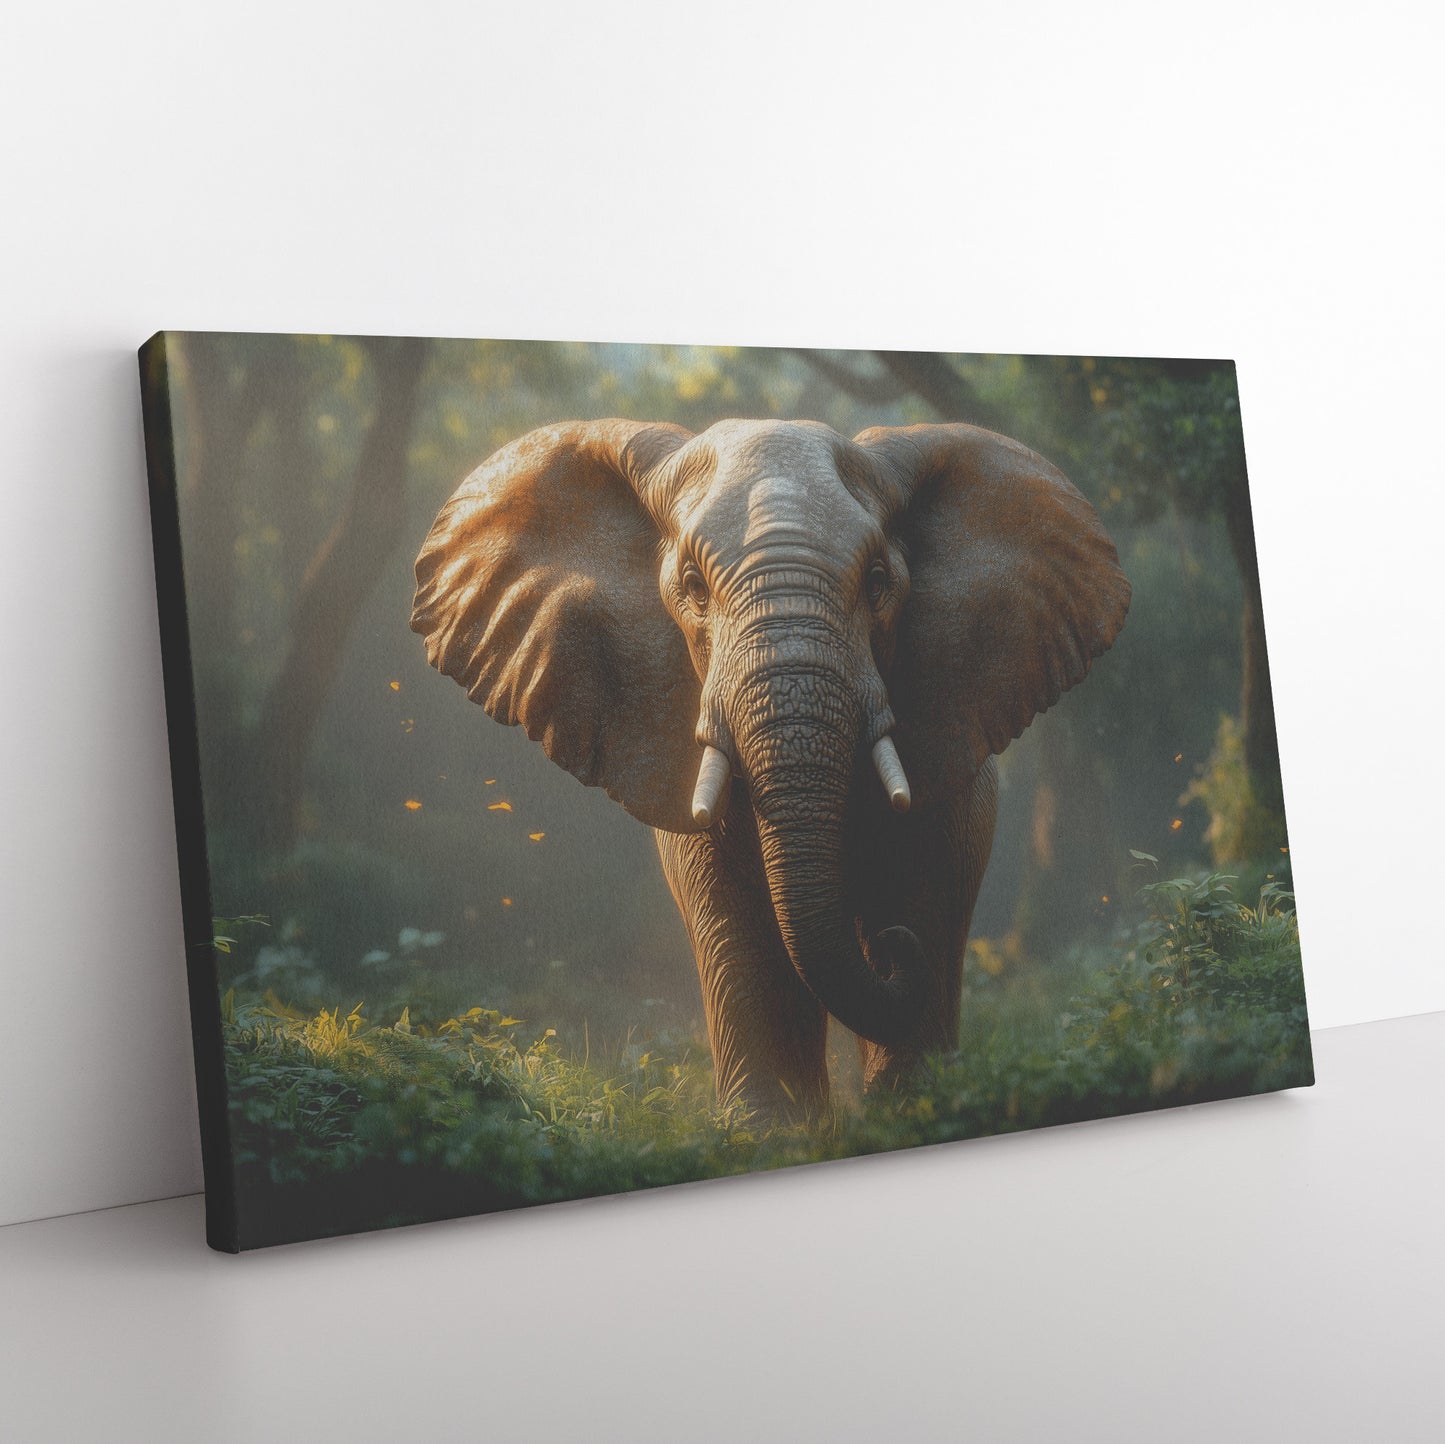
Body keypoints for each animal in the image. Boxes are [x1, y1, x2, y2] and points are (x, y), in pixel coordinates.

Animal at [411, 417, 1130, 1115]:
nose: (890, 953)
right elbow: (740, 922)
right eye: (694, 588)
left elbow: (921, 884)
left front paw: (917, 1110)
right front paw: (776, 1134)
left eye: (877, 582)